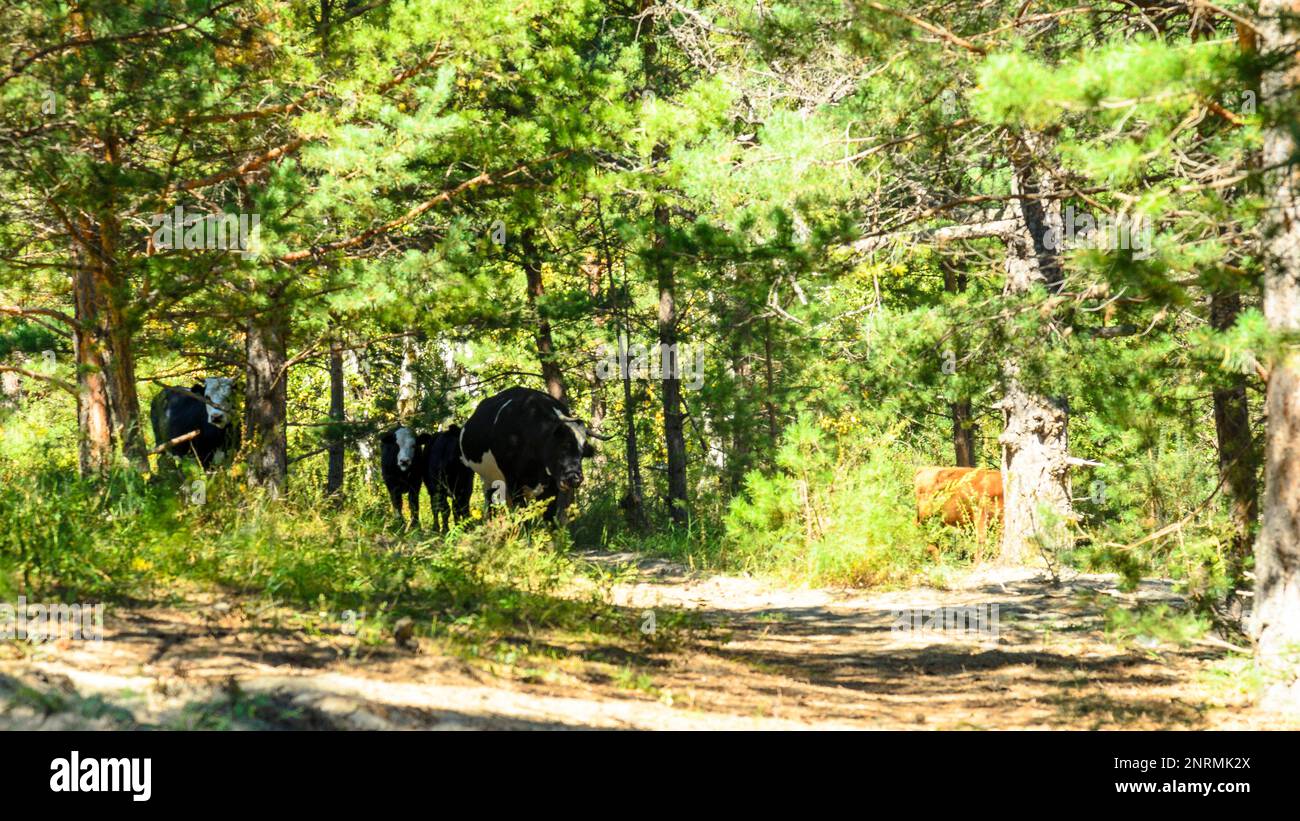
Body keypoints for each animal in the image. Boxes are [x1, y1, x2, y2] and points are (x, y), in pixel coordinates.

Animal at [457, 387, 608, 524]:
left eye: (582, 452)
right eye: (563, 446)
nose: (574, 479)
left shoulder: (552, 485)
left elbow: (549, 515)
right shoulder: (514, 482)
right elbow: (521, 514)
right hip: (489, 479)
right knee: (490, 504)